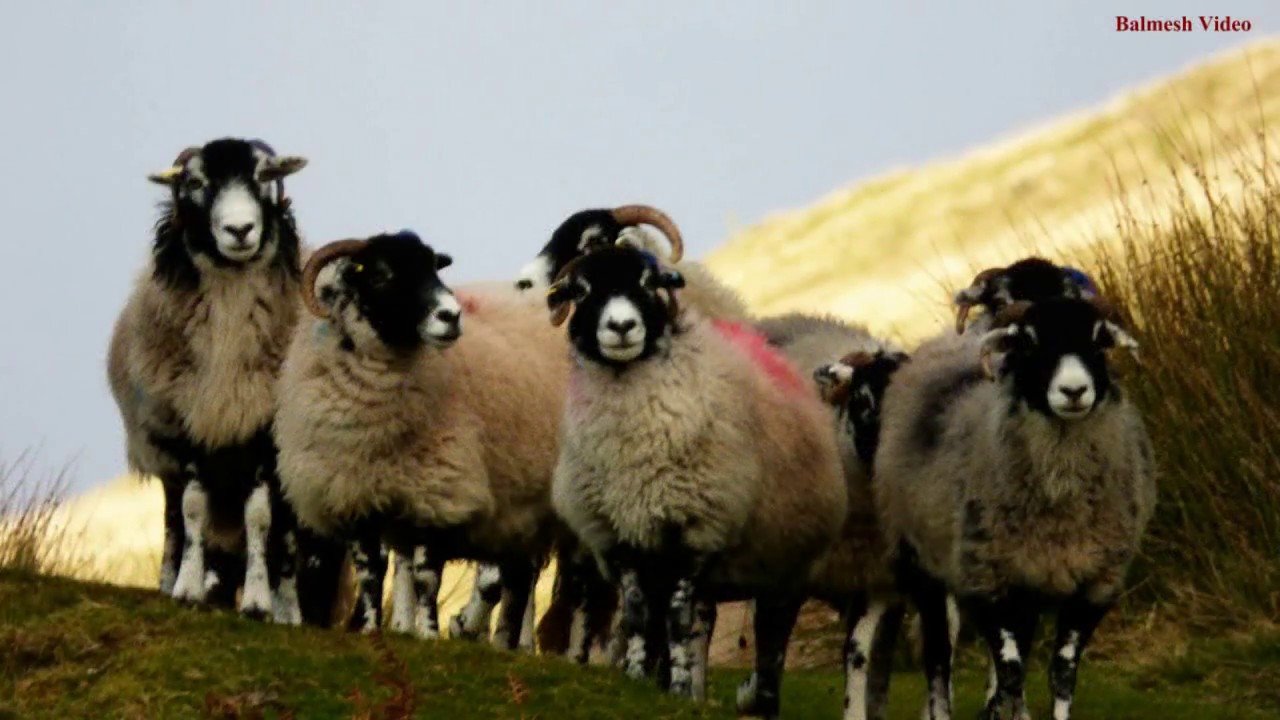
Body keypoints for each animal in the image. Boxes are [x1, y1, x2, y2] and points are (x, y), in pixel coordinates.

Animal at [106, 137, 344, 625]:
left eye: (264, 176)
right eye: (196, 181)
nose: (239, 229)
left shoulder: (262, 435)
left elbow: (261, 519)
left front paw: (257, 602)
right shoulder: (192, 427)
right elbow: (192, 511)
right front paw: (187, 588)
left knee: (286, 539)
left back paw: (286, 607)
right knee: (172, 520)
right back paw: (169, 580)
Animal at [274, 230, 571, 647]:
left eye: (434, 269)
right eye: (381, 274)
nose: (451, 315)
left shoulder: (440, 493)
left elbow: (428, 578)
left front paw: (429, 632)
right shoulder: (356, 497)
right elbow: (371, 572)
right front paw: (372, 629)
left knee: (518, 579)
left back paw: (508, 643)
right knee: (517, 577)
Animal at [544, 244, 848, 719]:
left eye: (649, 282)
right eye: (581, 290)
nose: (621, 327)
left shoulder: (694, 532)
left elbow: (676, 620)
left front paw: (677, 688)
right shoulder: (624, 537)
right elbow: (639, 618)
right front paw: (638, 682)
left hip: (786, 563)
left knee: (771, 638)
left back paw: (758, 698)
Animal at [873, 296, 1155, 720]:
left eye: (1097, 341)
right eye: (1030, 342)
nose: (1074, 390)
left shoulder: (1095, 586)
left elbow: (1061, 673)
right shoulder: (986, 585)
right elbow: (1010, 671)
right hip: (923, 566)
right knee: (938, 660)